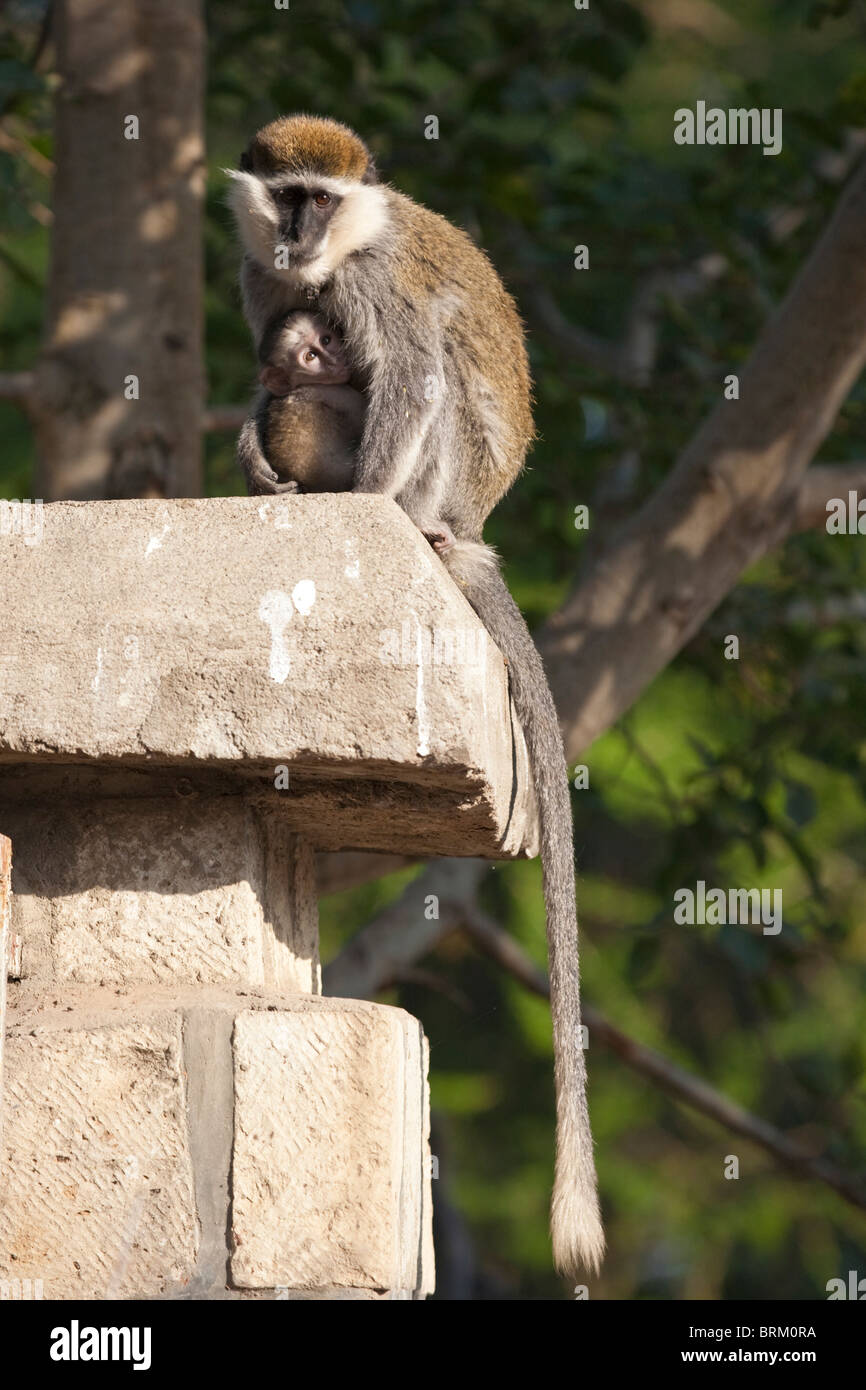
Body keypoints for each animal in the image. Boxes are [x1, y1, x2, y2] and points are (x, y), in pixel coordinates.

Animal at [227, 115, 604, 1278]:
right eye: (285, 197)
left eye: (320, 197)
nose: (298, 238)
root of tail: (472, 520)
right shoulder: (265, 282)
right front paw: (255, 441)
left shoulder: (367, 288)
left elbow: (411, 372)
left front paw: (346, 492)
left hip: (446, 474)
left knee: (428, 381)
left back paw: (400, 517)